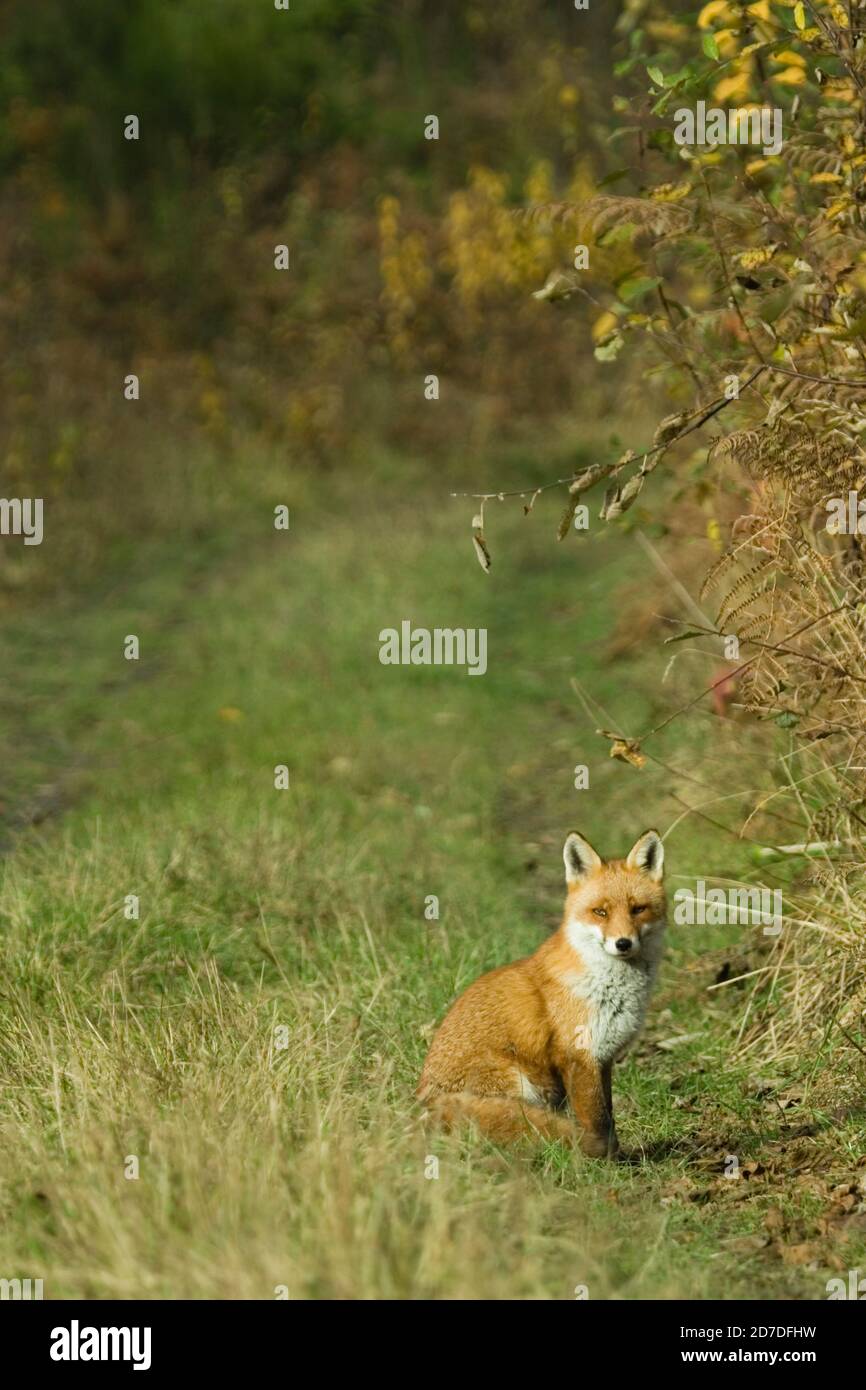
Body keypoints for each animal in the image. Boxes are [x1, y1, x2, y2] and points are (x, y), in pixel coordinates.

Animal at [417, 828, 666, 1158]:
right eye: (600, 912)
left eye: (638, 909)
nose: (623, 943)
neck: (611, 988)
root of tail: (424, 1106)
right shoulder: (579, 1056)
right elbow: (597, 1120)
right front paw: (606, 1160)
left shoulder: (603, 1058)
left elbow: (609, 1116)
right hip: (520, 1081)